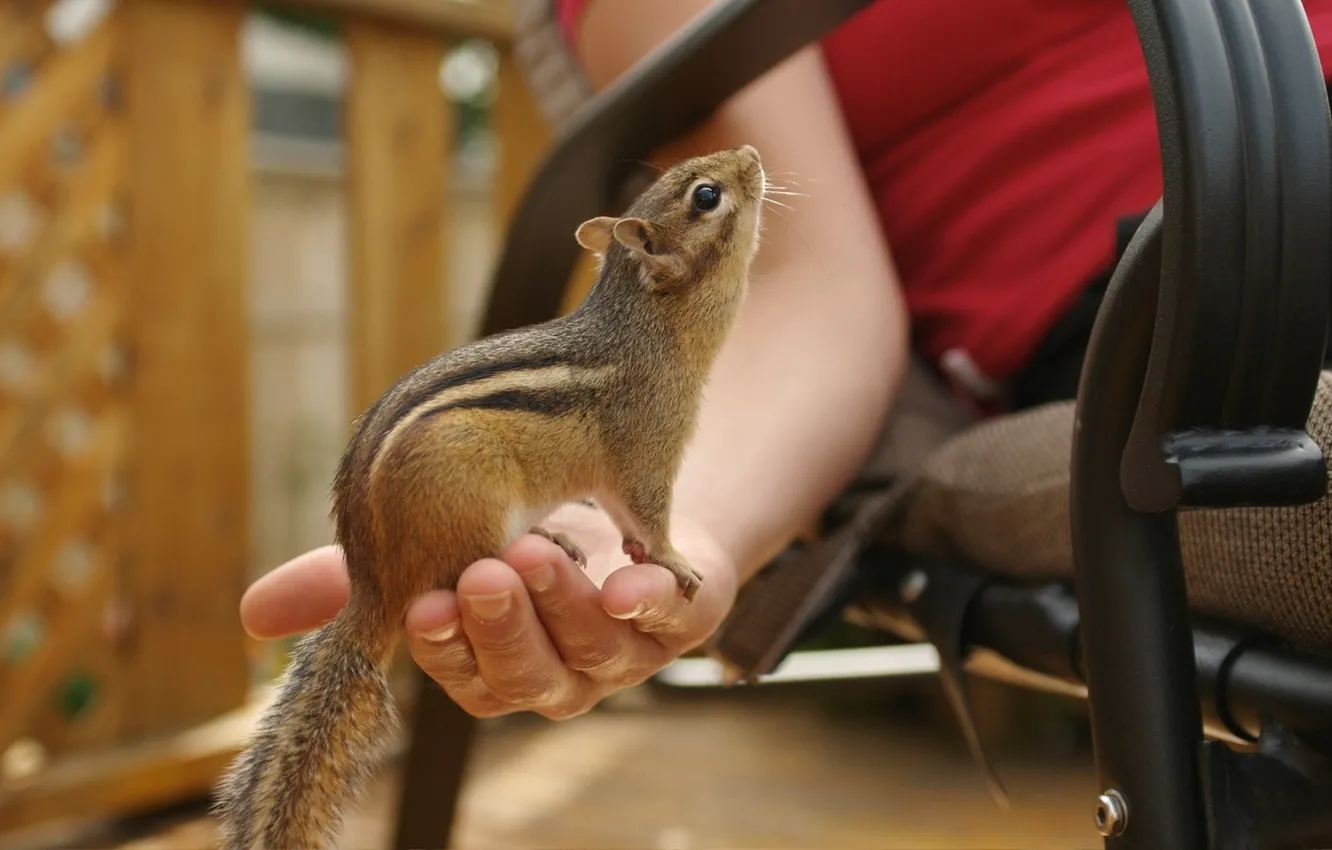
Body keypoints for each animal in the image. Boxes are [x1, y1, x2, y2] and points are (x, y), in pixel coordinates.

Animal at [212, 144, 768, 850]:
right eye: (706, 196)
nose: (750, 154)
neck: (647, 327)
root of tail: (373, 583)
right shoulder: (647, 449)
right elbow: (646, 510)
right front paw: (672, 560)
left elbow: (625, 516)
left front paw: (644, 552)